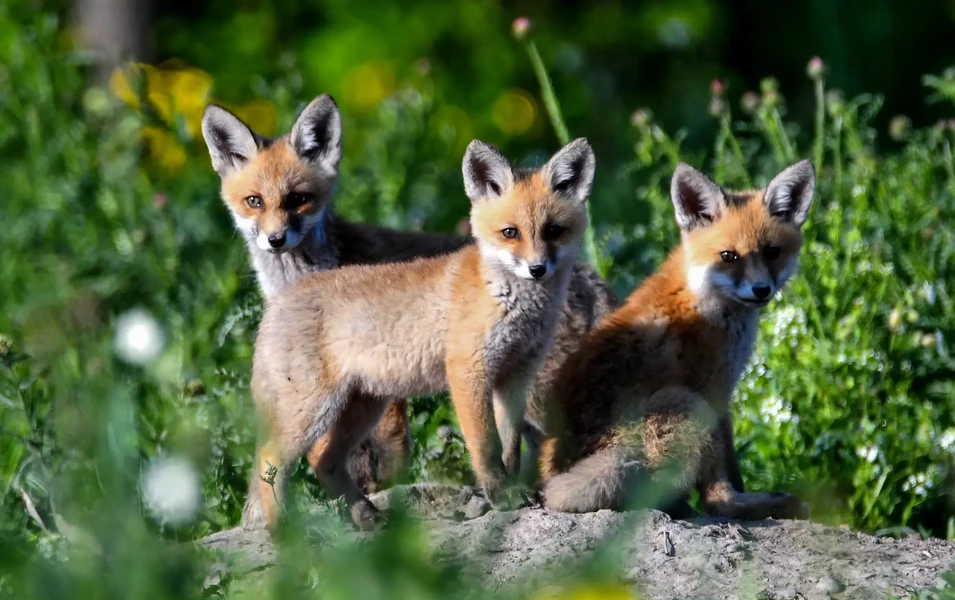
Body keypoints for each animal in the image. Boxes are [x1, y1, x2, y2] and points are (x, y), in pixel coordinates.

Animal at [250, 137, 597, 530]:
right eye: (511, 233)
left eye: (553, 230)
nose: (537, 269)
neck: (510, 301)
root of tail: (276, 303)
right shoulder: (468, 372)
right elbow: (486, 445)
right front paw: (500, 496)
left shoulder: (515, 377)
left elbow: (509, 447)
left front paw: (510, 492)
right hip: (314, 408)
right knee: (269, 462)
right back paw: (287, 535)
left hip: (363, 407)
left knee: (323, 461)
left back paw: (365, 517)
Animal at [537, 160, 816, 521]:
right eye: (729, 256)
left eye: (772, 252)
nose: (761, 290)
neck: (702, 293)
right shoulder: (713, 391)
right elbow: (725, 481)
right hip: (685, 404)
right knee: (706, 498)